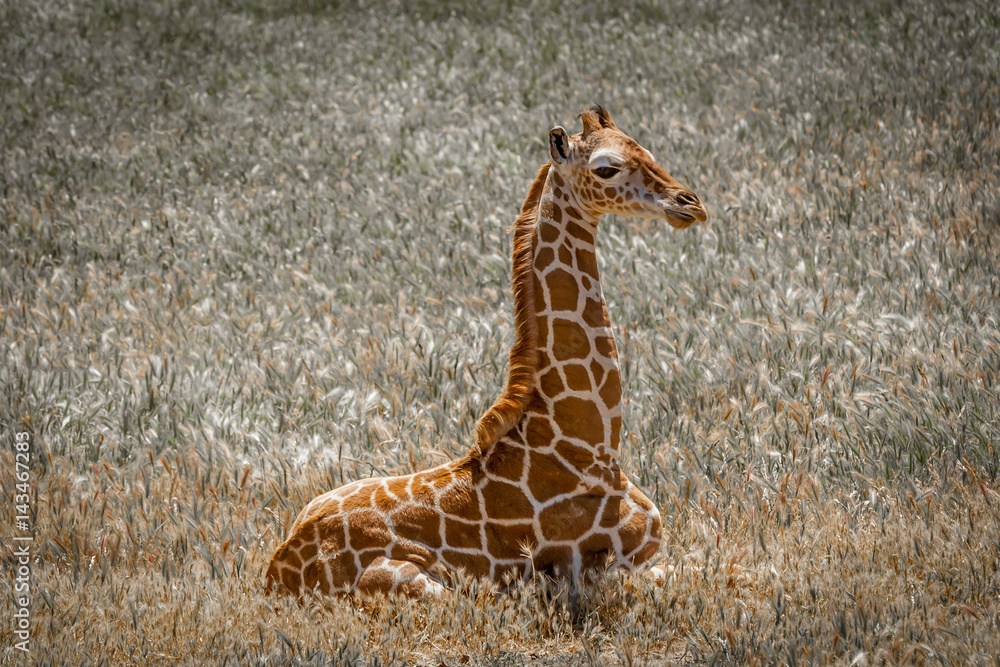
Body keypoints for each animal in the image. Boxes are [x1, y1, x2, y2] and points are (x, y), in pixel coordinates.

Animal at [266, 105, 707, 597]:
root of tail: (275, 573)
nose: (690, 204)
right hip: (420, 586)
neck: (585, 445)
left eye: (646, 149)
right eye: (606, 168)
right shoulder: (594, 572)